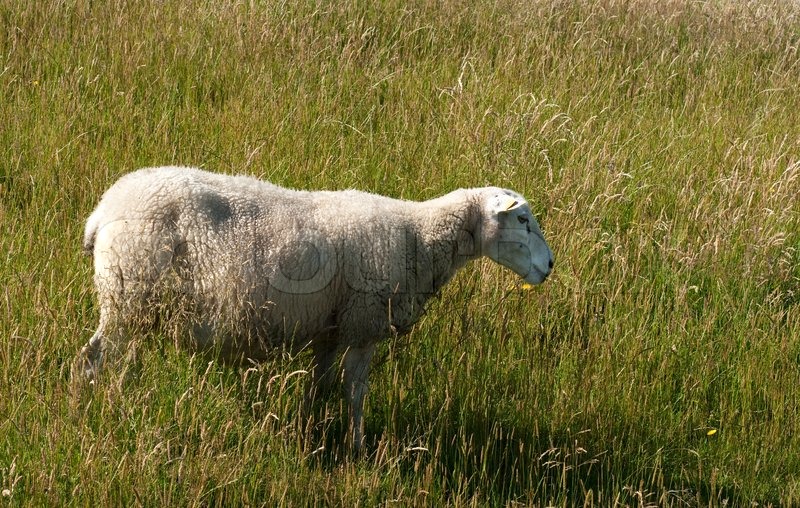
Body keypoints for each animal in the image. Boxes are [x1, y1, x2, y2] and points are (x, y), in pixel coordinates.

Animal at [77, 166, 554, 450]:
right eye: (522, 220)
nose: (549, 266)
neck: (419, 235)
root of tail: (102, 210)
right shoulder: (363, 325)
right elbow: (356, 392)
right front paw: (359, 448)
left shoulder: (330, 329)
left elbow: (319, 387)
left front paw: (311, 430)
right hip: (127, 292)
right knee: (92, 358)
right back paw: (95, 407)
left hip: (135, 305)